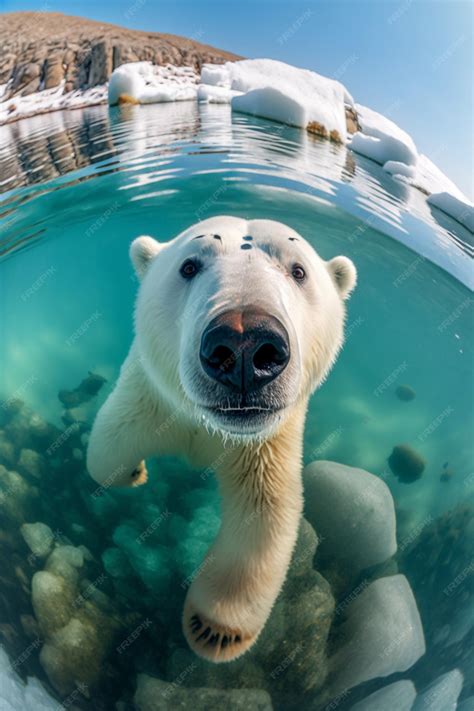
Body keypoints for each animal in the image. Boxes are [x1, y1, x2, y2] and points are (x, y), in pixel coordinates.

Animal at [87, 216, 356, 663]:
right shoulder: (153, 400)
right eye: (189, 266)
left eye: (298, 270)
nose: (244, 344)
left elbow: (266, 515)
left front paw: (214, 630)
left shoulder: (266, 442)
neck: (210, 429)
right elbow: (109, 450)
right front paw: (135, 473)